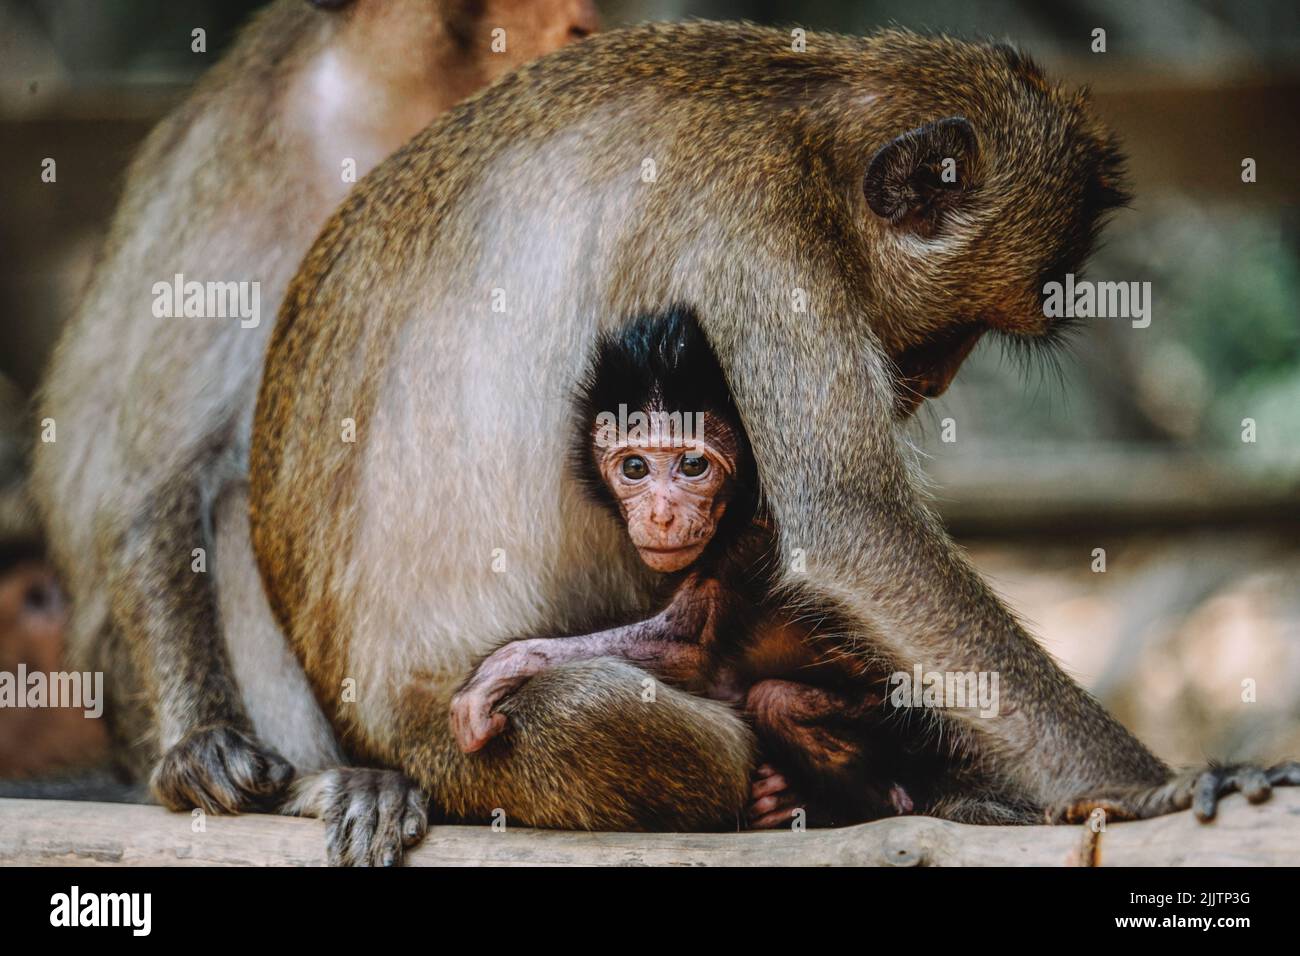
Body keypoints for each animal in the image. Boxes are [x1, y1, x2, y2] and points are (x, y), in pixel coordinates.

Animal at [32, 0, 600, 865]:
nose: (581, 29)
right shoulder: (246, 164)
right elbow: (152, 478)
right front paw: (202, 743)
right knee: (230, 513)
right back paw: (322, 785)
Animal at [250, 19, 1297, 839]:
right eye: (958, 327)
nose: (937, 377)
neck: (814, 115)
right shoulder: (762, 242)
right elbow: (853, 527)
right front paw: (1155, 786)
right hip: (461, 753)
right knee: (682, 733)